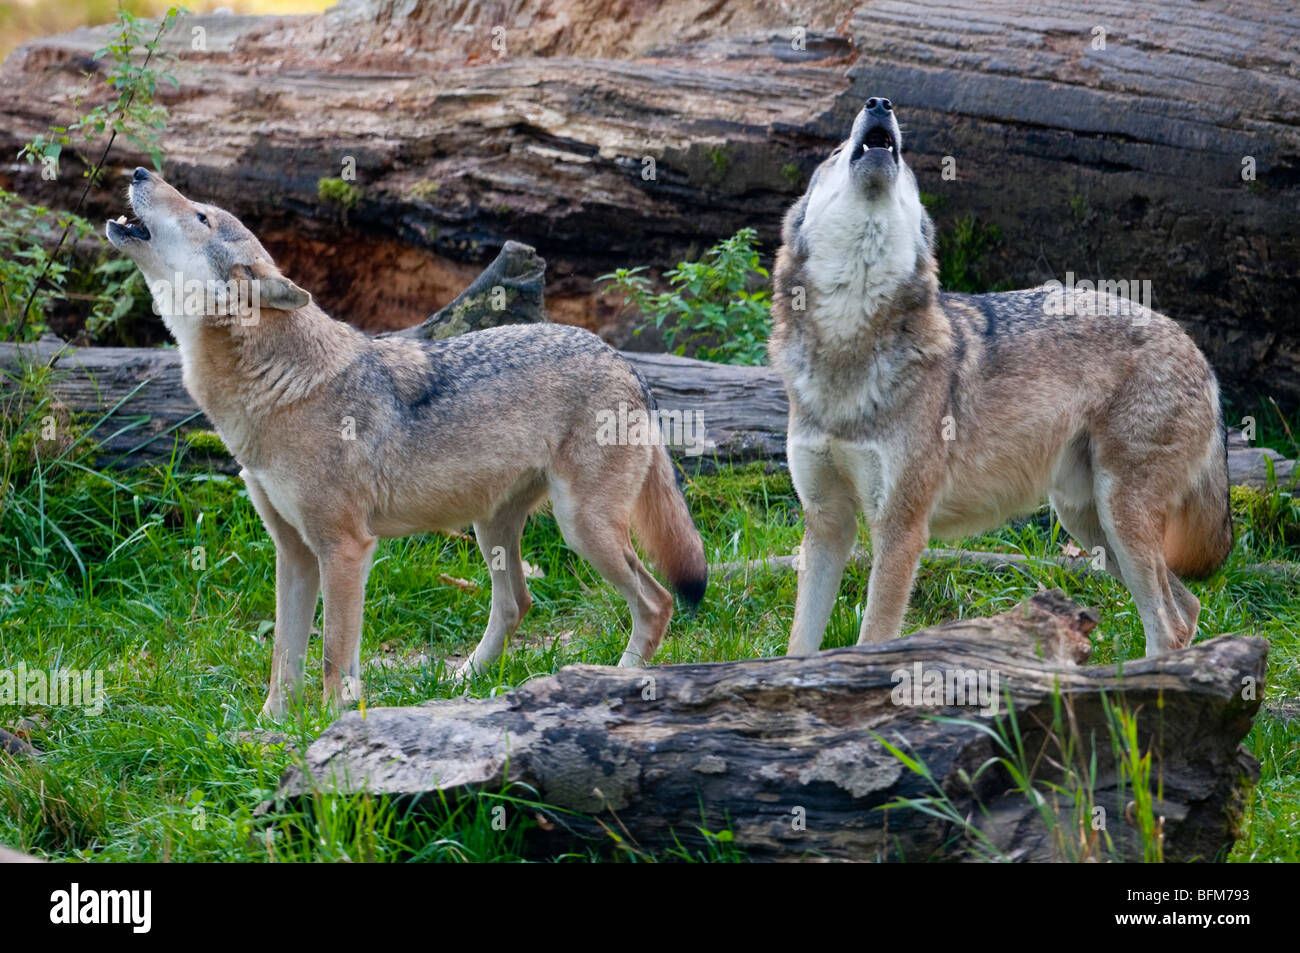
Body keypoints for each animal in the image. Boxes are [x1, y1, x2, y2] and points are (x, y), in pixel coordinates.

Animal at [107, 168, 707, 717]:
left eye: (201, 216)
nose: (138, 171)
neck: (276, 388)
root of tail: (623, 359)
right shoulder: (294, 552)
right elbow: (284, 659)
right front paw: (269, 732)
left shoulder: (345, 548)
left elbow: (333, 656)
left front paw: (331, 728)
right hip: (493, 528)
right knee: (518, 602)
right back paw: (466, 680)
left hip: (581, 529)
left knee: (656, 601)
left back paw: (617, 680)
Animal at [769, 98, 1232, 659]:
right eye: (836, 153)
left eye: (909, 172)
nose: (879, 103)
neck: (848, 346)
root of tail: (1196, 349)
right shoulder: (827, 524)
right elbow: (799, 646)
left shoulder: (901, 529)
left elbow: (873, 637)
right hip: (1088, 521)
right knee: (1187, 608)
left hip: (1118, 517)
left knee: (1168, 623)